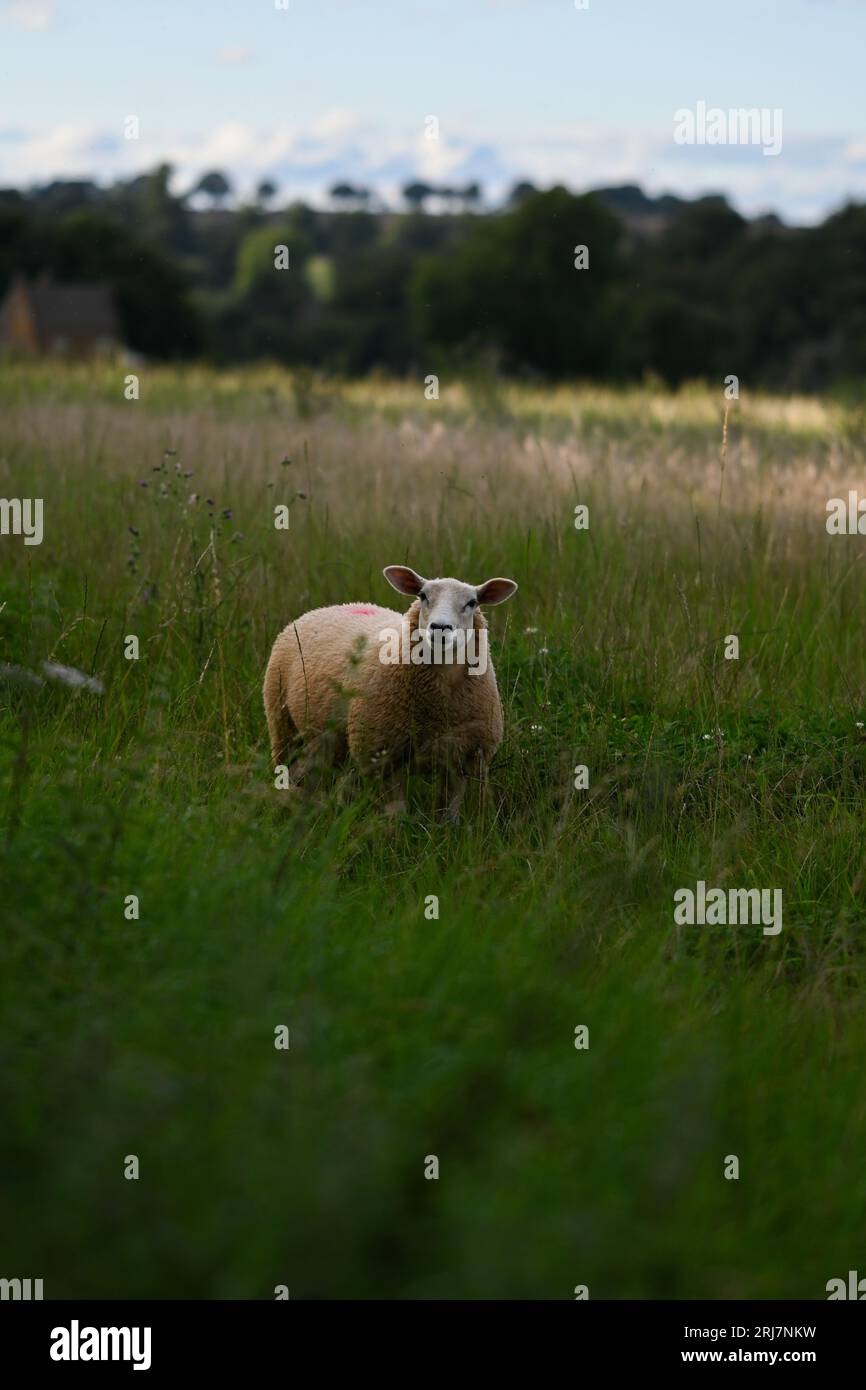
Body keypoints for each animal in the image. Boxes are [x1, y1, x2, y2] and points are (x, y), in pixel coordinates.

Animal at [263, 565, 518, 819]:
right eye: (423, 596)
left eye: (472, 602)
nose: (439, 628)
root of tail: (328, 607)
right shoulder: (384, 756)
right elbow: (397, 814)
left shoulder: (462, 758)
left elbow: (449, 814)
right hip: (282, 724)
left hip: (329, 742)